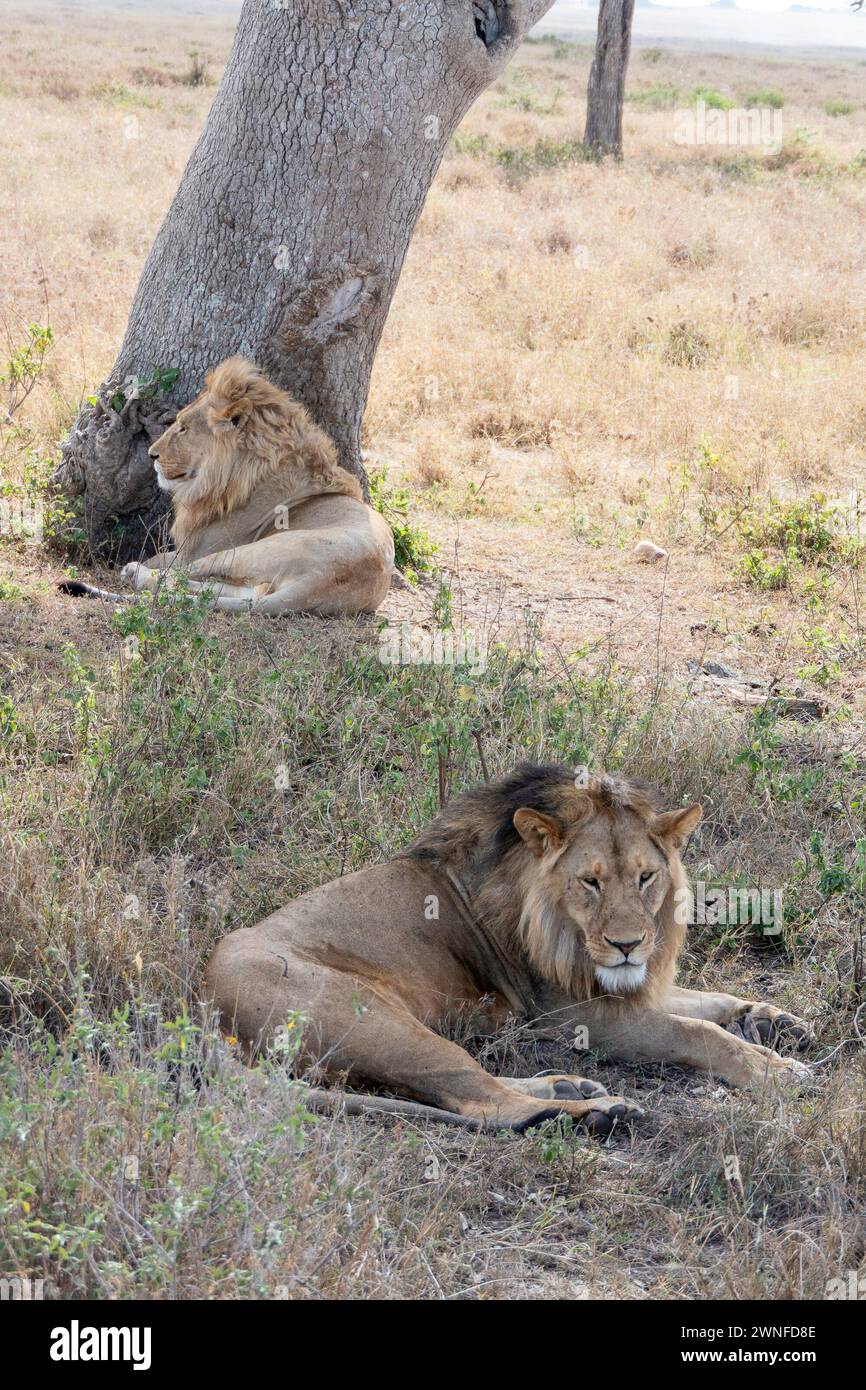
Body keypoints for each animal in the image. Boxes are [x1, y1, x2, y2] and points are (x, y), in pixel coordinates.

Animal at [120, 356, 395, 615]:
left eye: (184, 428)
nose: (151, 454)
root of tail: (317, 585)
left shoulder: (195, 550)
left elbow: (162, 558)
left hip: (249, 551)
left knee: (180, 574)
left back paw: (135, 573)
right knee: (244, 593)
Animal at [203, 764, 813, 1134]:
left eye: (646, 877)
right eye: (590, 882)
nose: (628, 944)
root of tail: (199, 1005)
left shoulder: (626, 986)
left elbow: (706, 1000)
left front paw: (773, 1021)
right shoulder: (575, 1014)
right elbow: (696, 1031)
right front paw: (774, 1070)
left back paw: (568, 1084)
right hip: (375, 1019)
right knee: (484, 1102)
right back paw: (596, 1111)